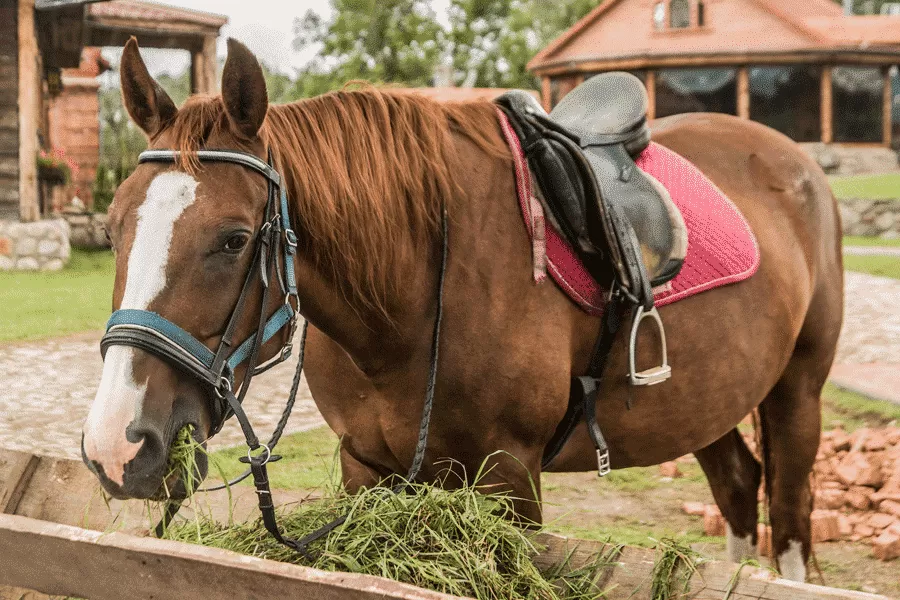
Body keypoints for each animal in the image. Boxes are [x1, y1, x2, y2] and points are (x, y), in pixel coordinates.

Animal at [79, 38, 844, 580]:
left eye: (235, 239)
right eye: (112, 228)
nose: (118, 445)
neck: (406, 311)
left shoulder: (510, 477)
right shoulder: (365, 468)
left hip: (796, 392)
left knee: (789, 516)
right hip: (708, 399)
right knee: (741, 490)